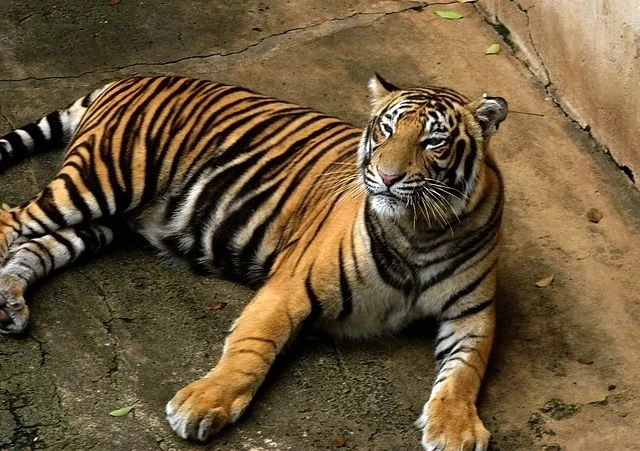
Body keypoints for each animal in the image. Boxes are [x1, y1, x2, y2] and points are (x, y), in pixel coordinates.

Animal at [0, 74, 507, 450]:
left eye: (434, 141)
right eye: (386, 130)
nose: (384, 177)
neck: (420, 229)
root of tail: (127, 77)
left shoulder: (473, 313)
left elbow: (465, 371)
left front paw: (455, 430)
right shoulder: (291, 285)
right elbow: (251, 346)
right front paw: (201, 405)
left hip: (105, 223)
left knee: (34, 247)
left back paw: (10, 305)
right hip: (99, 184)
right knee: (11, 221)